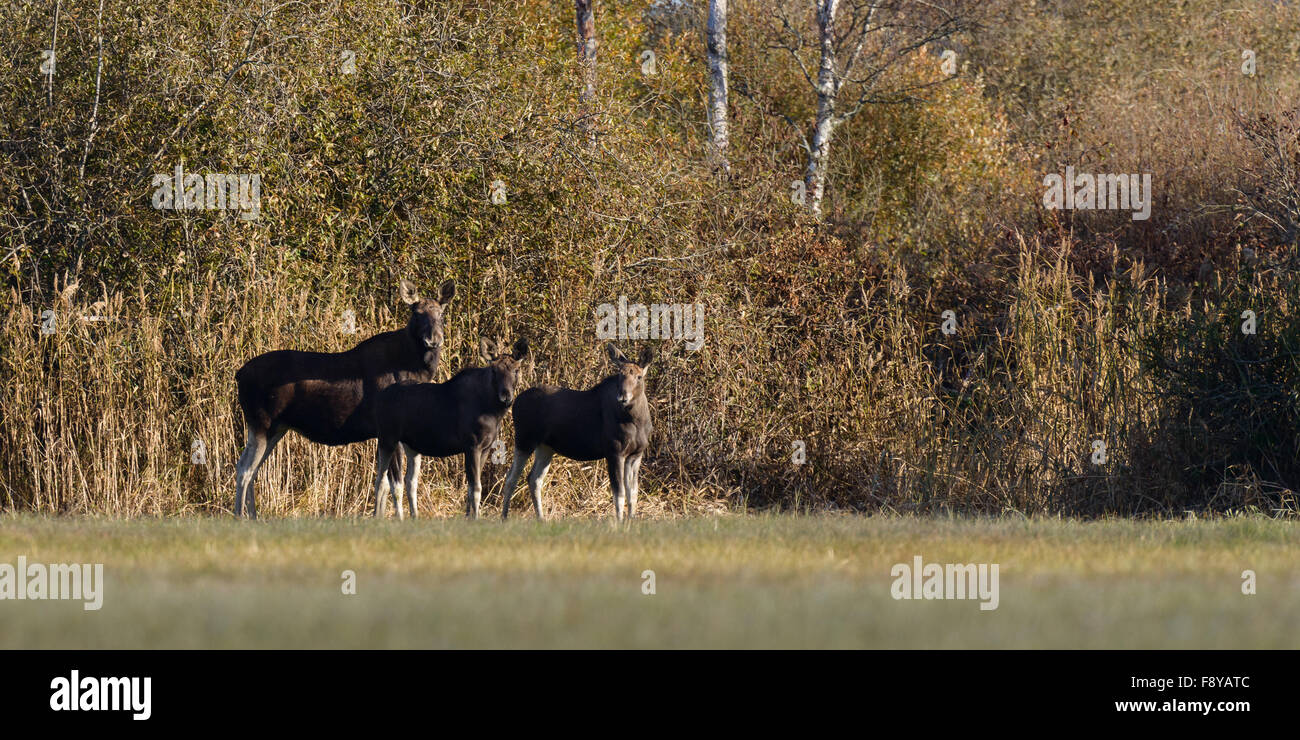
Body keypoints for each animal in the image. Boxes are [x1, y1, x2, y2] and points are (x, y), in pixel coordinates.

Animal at [232, 278, 455, 519]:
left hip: (276, 428)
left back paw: (253, 517)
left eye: (441, 313)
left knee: (251, 469)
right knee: (244, 469)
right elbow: (393, 485)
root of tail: (239, 374)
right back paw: (240, 517)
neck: (417, 370)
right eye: (417, 313)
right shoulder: (389, 429)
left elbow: (404, 483)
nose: (433, 340)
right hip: (261, 424)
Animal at [372, 337, 528, 519]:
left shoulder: (485, 448)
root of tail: (378, 400)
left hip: (411, 446)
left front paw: (469, 517)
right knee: (382, 480)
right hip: (387, 439)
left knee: (409, 480)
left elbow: (471, 488)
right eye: (495, 371)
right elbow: (476, 488)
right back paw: (380, 518)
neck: (493, 411)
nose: (506, 395)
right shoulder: (472, 445)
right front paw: (475, 518)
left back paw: (414, 517)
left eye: (516, 370)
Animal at [501, 343, 653, 522]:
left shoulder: (636, 454)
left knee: (534, 479)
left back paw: (541, 519)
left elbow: (633, 494)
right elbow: (619, 494)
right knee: (511, 478)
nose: (623, 396)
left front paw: (631, 521)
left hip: (545, 447)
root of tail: (515, 402)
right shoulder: (614, 452)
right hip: (524, 440)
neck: (637, 420)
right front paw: (620, 522)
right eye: (619, 376)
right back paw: (504, 517)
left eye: (639, 376)